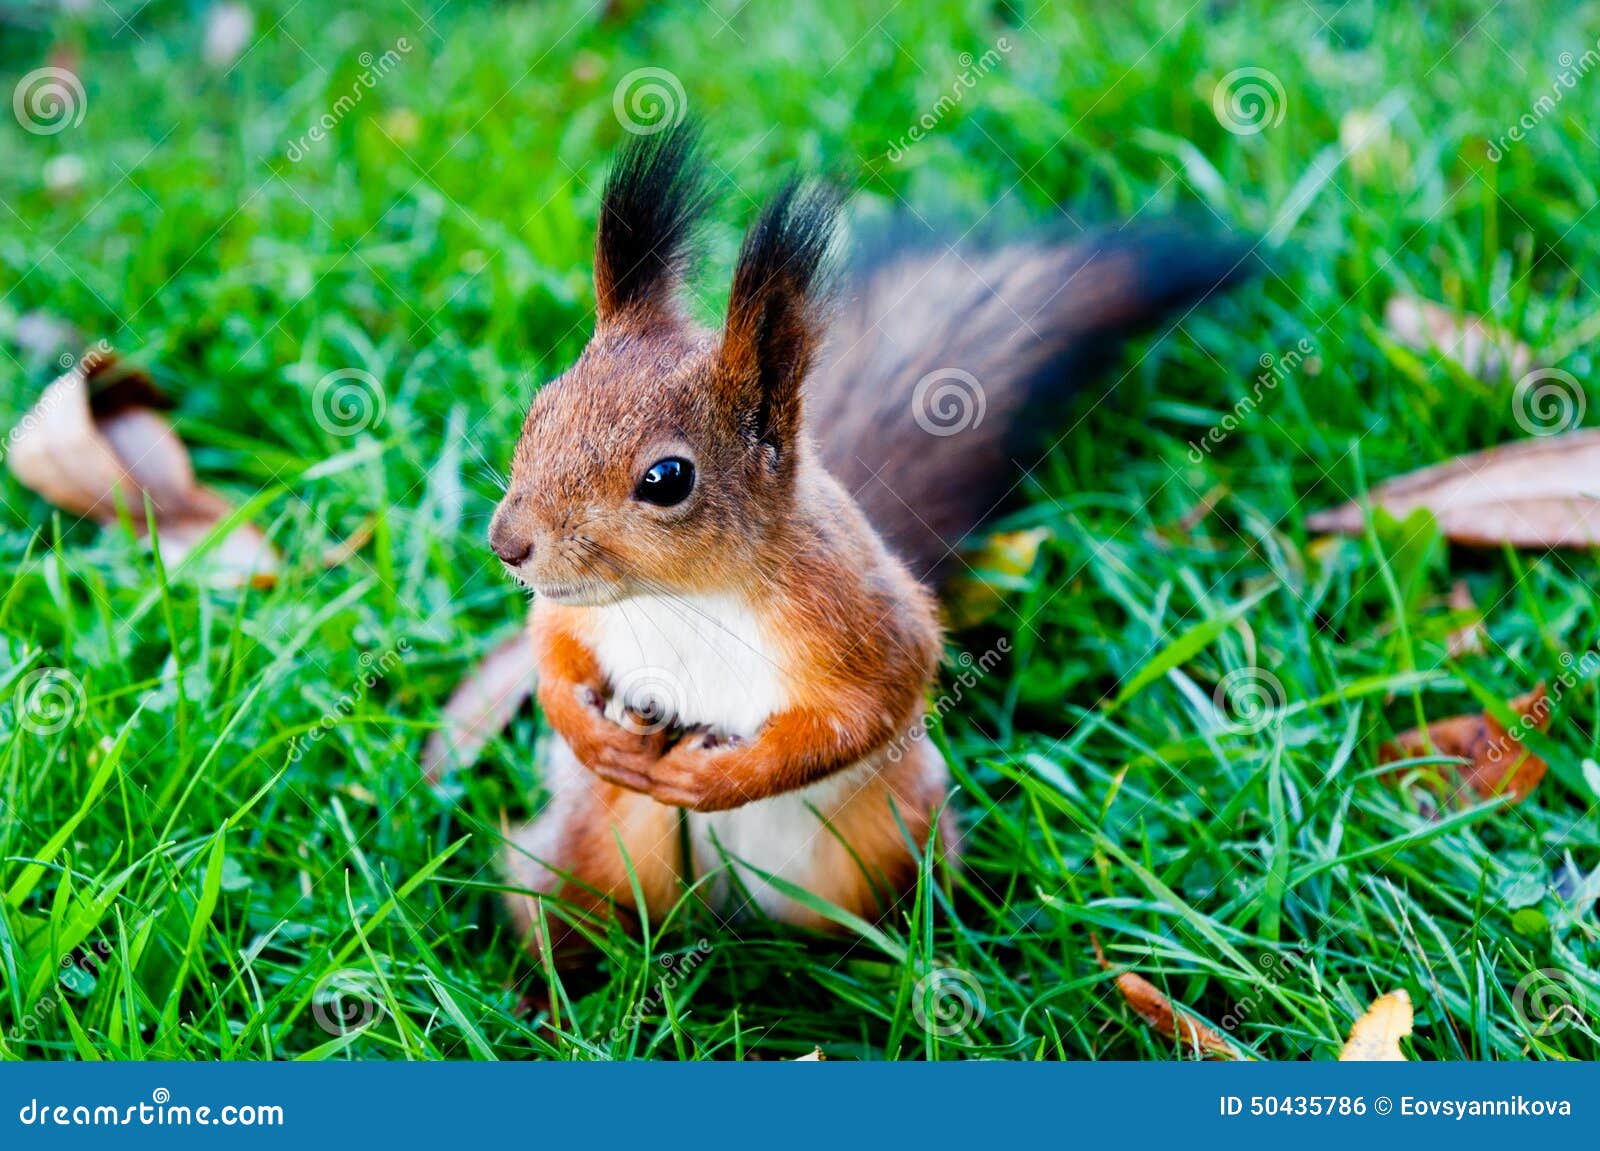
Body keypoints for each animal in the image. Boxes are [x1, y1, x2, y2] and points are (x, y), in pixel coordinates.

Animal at [486, 121, 1250, 958]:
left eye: (666, 478)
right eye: (538, 409)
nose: (508, 543)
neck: (680, 595)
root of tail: (730, 909)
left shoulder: (855, 615)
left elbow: (867, 708)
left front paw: (719, 779)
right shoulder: (581, 610)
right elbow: (552, 645)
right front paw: (590, 736)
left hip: (886, 840)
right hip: (591, 852)